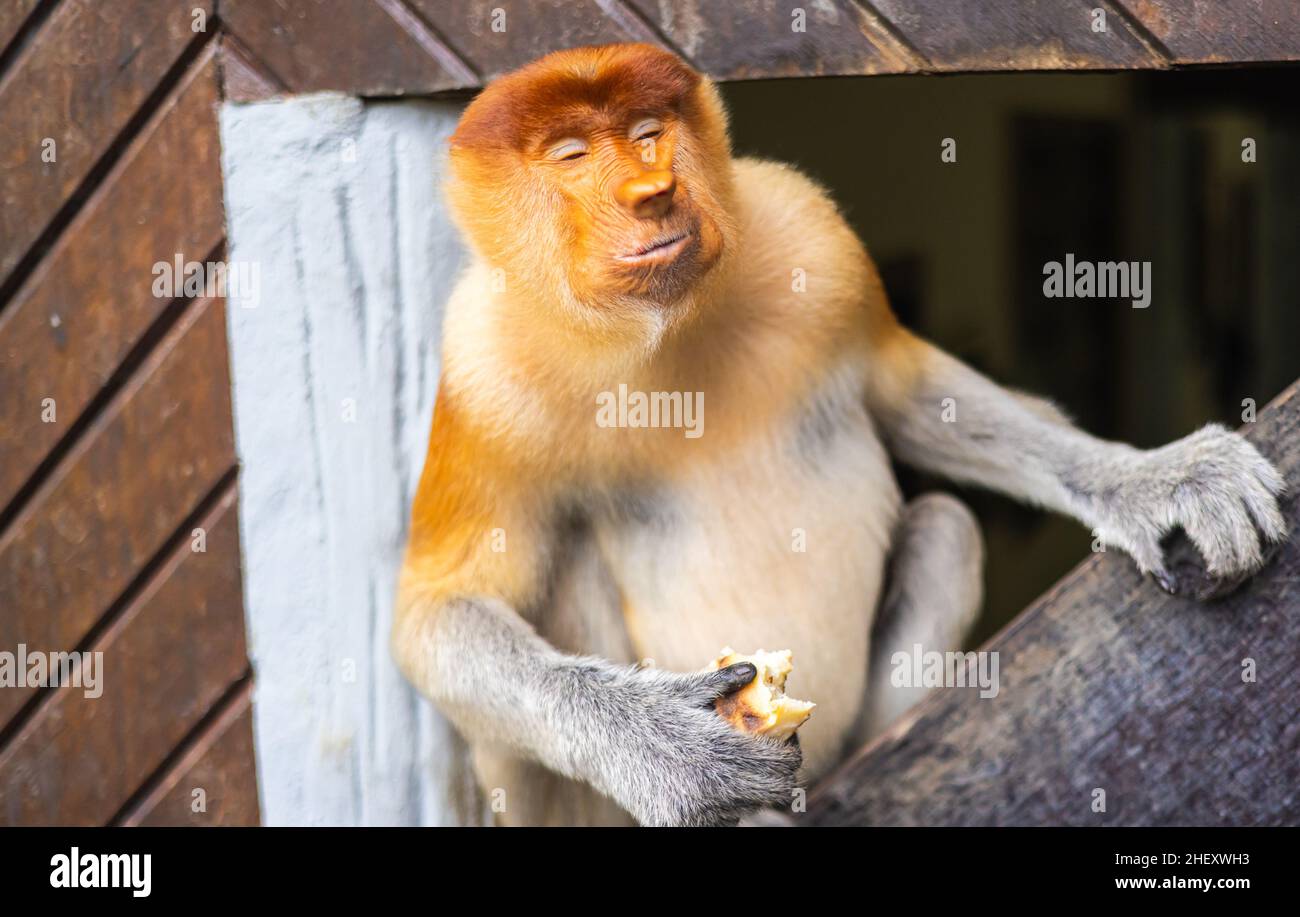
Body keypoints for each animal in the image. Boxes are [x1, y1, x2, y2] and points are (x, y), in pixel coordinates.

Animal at [392, 43, 1287, 827]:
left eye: (649, 132)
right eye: (573, 155)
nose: (654, 190)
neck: (665, 333)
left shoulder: (813, 238)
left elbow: (909, 389)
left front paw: (1161, 480)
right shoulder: (481, 370)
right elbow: (438, 613)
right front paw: (673, 753)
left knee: (946, 527)